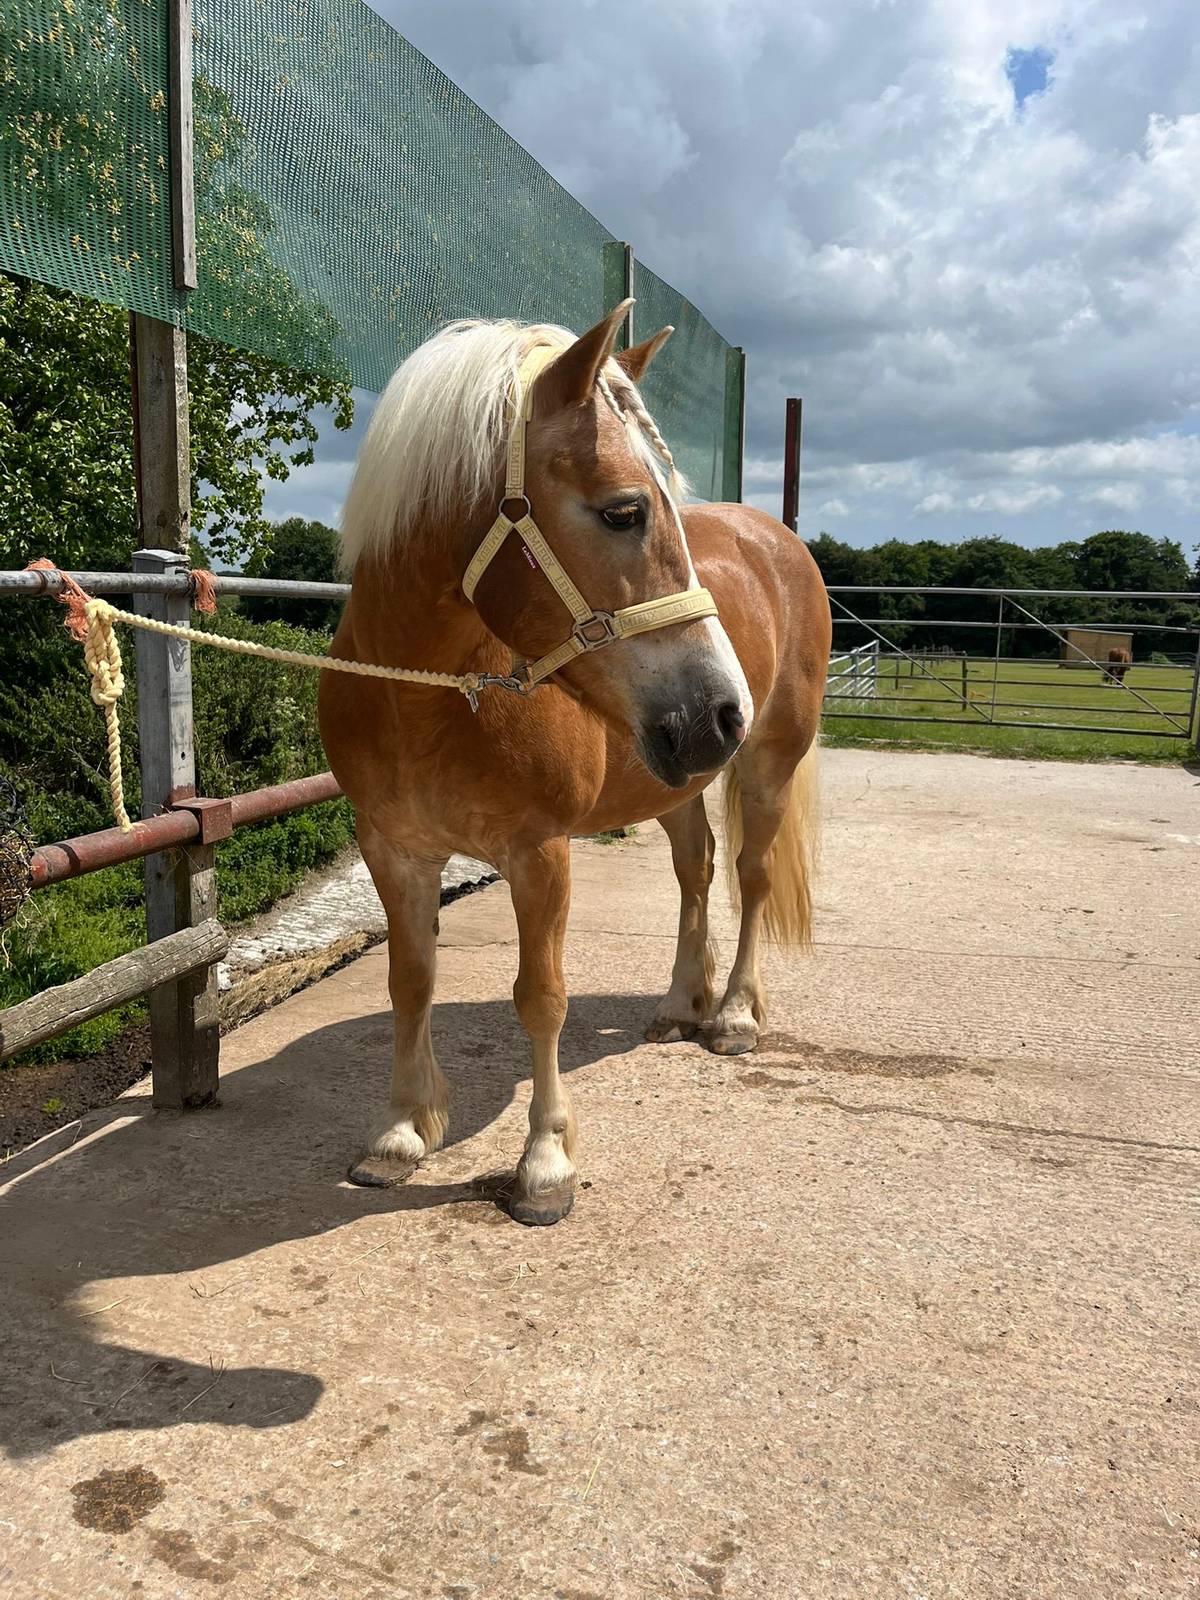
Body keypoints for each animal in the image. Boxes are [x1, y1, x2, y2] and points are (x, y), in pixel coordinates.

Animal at [318, 300, 831, 1225]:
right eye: (625, 511)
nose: (722, 711)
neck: (428, 692)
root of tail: (778, 538)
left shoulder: (540, 853)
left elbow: (541, 997)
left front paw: (545, 1162)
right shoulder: (393, 849)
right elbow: (410, 982)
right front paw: (403, 1132)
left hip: (766, 763)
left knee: (752, 875)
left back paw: (733, 1014)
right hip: (675, 775)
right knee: (698, 870)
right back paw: (680, 1004)